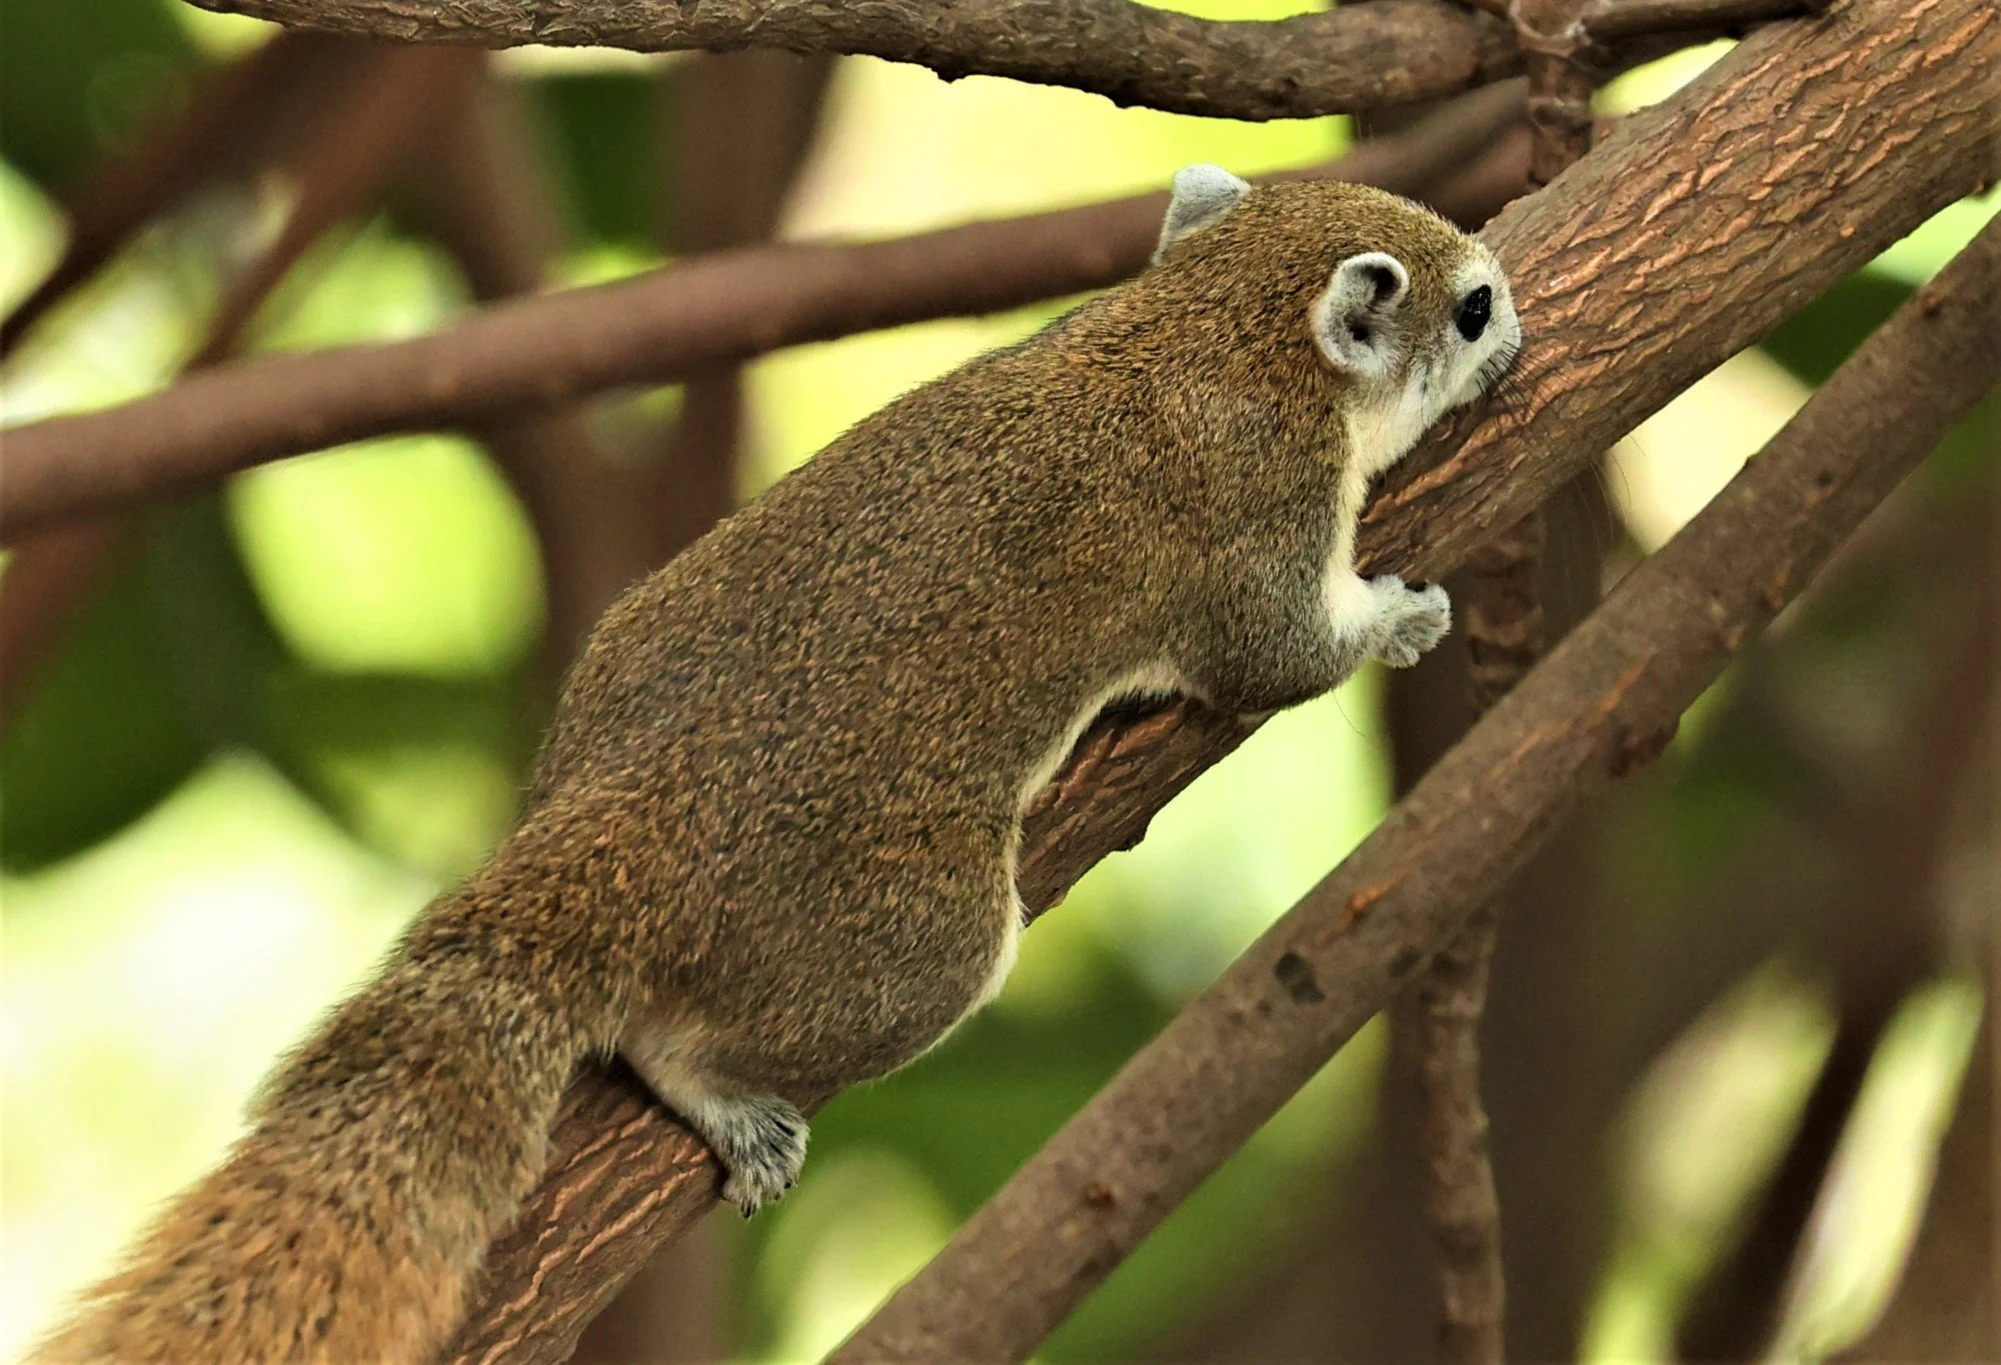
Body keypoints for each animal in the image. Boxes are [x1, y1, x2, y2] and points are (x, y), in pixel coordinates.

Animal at [36, 167, 1519, 1364]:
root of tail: (611, 831)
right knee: (694, 1033)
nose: (1510, 338)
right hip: (913, 941)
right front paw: (1403, 615)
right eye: (1467, 311)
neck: (1214, 325)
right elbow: (1279, 656)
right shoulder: (1255, 519)